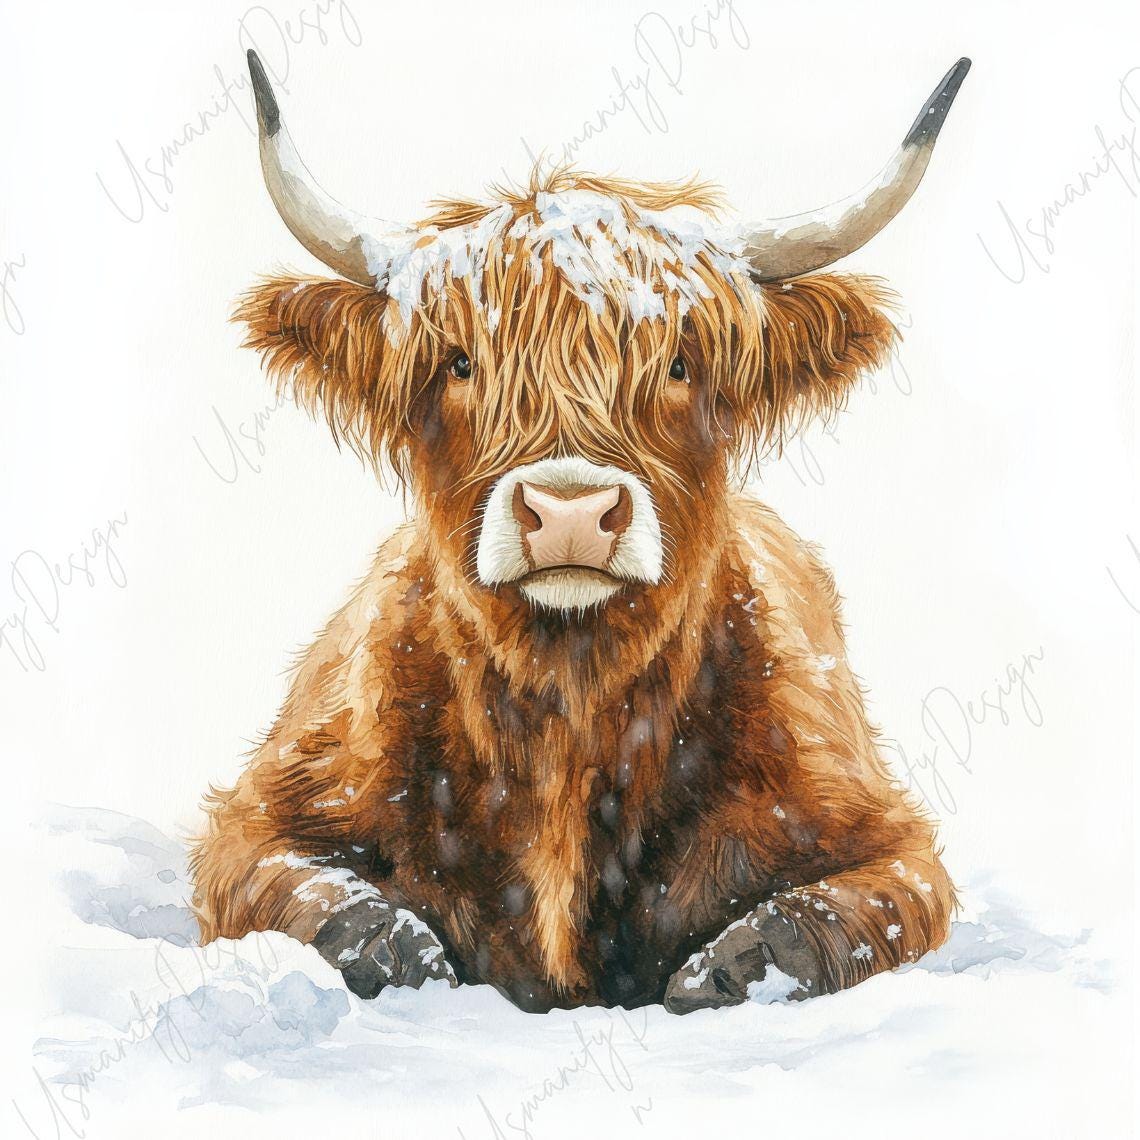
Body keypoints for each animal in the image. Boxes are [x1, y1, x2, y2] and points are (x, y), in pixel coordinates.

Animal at [190, 51, 970, 1014]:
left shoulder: (888, 840)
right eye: (460, 362)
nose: (568, 511)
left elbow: (831, 915)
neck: (569, 708)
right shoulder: (255, 822)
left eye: (679, 364)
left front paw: (723, 971)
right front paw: (409, 957)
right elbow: (320, 899)